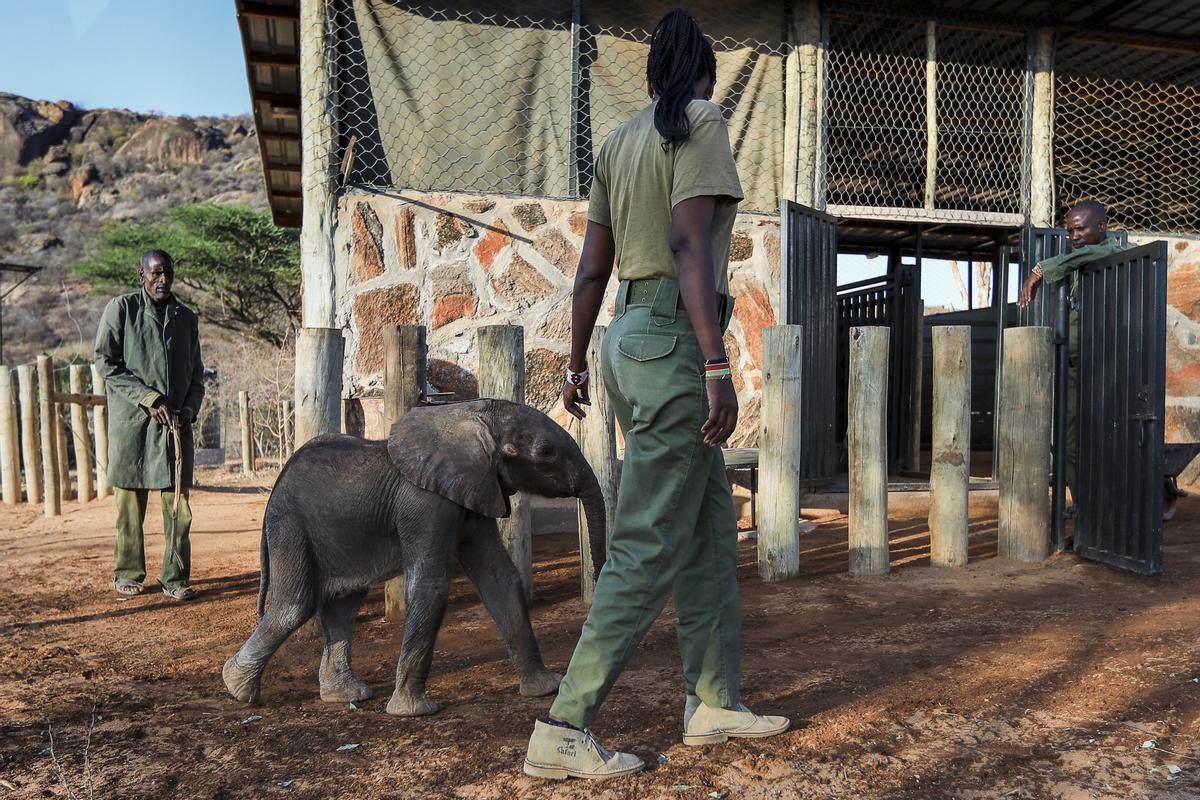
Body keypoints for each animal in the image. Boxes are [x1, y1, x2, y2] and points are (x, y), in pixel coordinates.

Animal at [221, 398, 607, 716]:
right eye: (546, 451)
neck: (468, 415)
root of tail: (276, 483)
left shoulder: (474, 491)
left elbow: (500, 578)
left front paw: (545, 689)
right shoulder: (427, 503)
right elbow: (430, 584)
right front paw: (414, 712)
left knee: (342, 604)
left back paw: (345, 695)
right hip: (291, 525)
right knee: (295, 605)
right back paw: (236, 689)